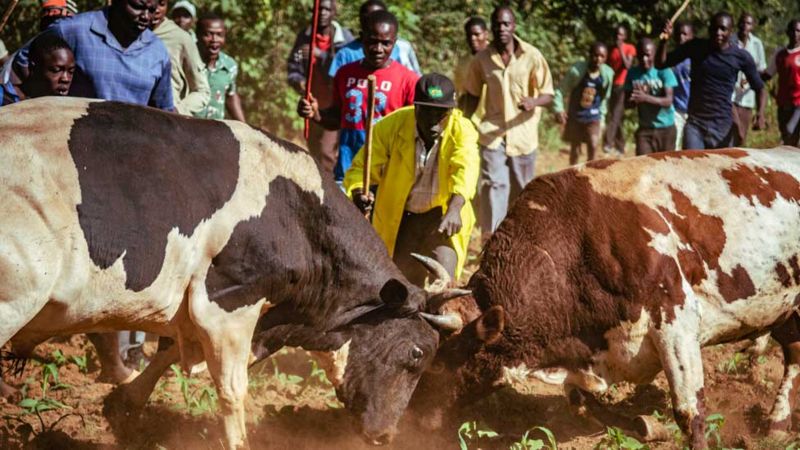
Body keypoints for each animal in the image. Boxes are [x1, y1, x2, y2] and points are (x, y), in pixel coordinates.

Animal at [0, 97, 464, 448]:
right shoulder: (229, 303)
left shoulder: (203, 305)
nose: (385, 436)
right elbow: (231, 387)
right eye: (416, 353)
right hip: (13, 301)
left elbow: (169, 352)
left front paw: (126, 402)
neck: (298, 215)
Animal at [412, 148, 800, 448]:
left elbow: (690, 412)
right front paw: (644, 425)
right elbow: (581, 402)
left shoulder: (676, 322)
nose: (411, 418)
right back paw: (778, 424)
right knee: (793, 353)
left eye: (438, 363)